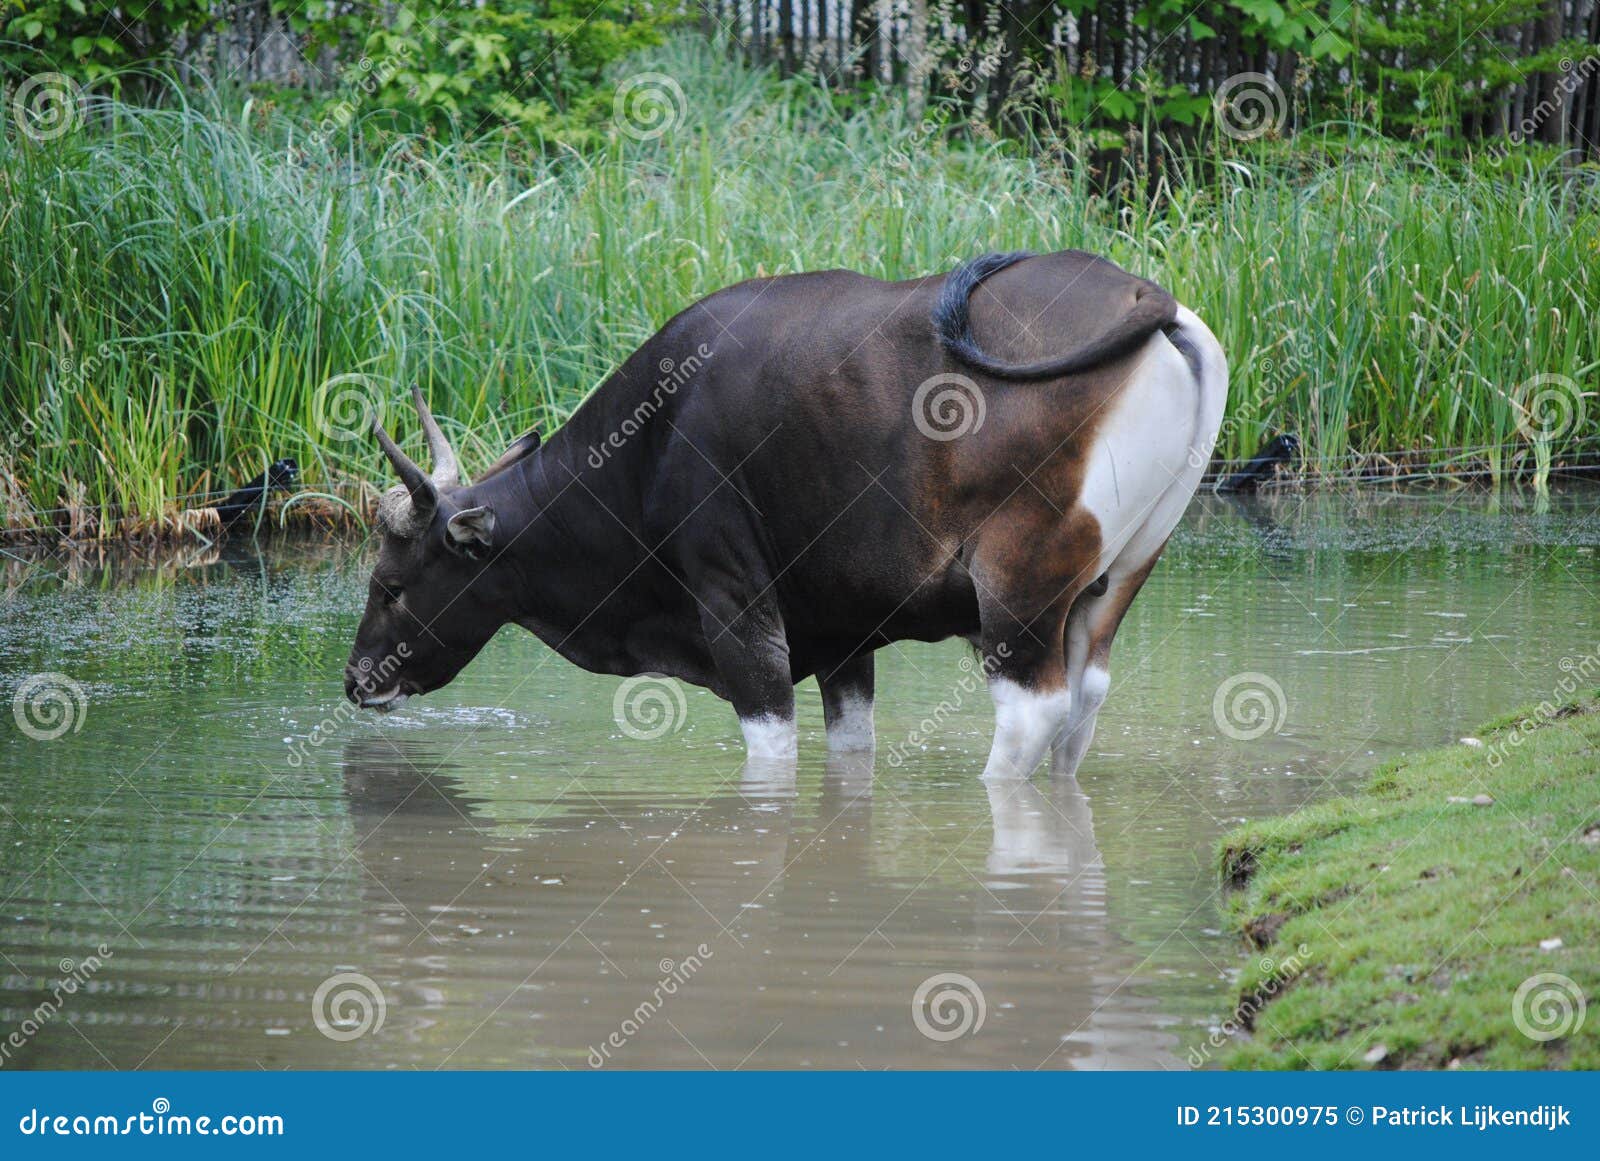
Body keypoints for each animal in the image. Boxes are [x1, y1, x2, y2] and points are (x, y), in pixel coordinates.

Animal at [344, 250, 1228, 779]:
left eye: (390, 585)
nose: (356, 681)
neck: (650, 444)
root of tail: (1150, 298)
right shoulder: (845, 640)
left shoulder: (738, 611)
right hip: (1113, 583)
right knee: (1083, 703)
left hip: (1019, 586)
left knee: (1032, 712)